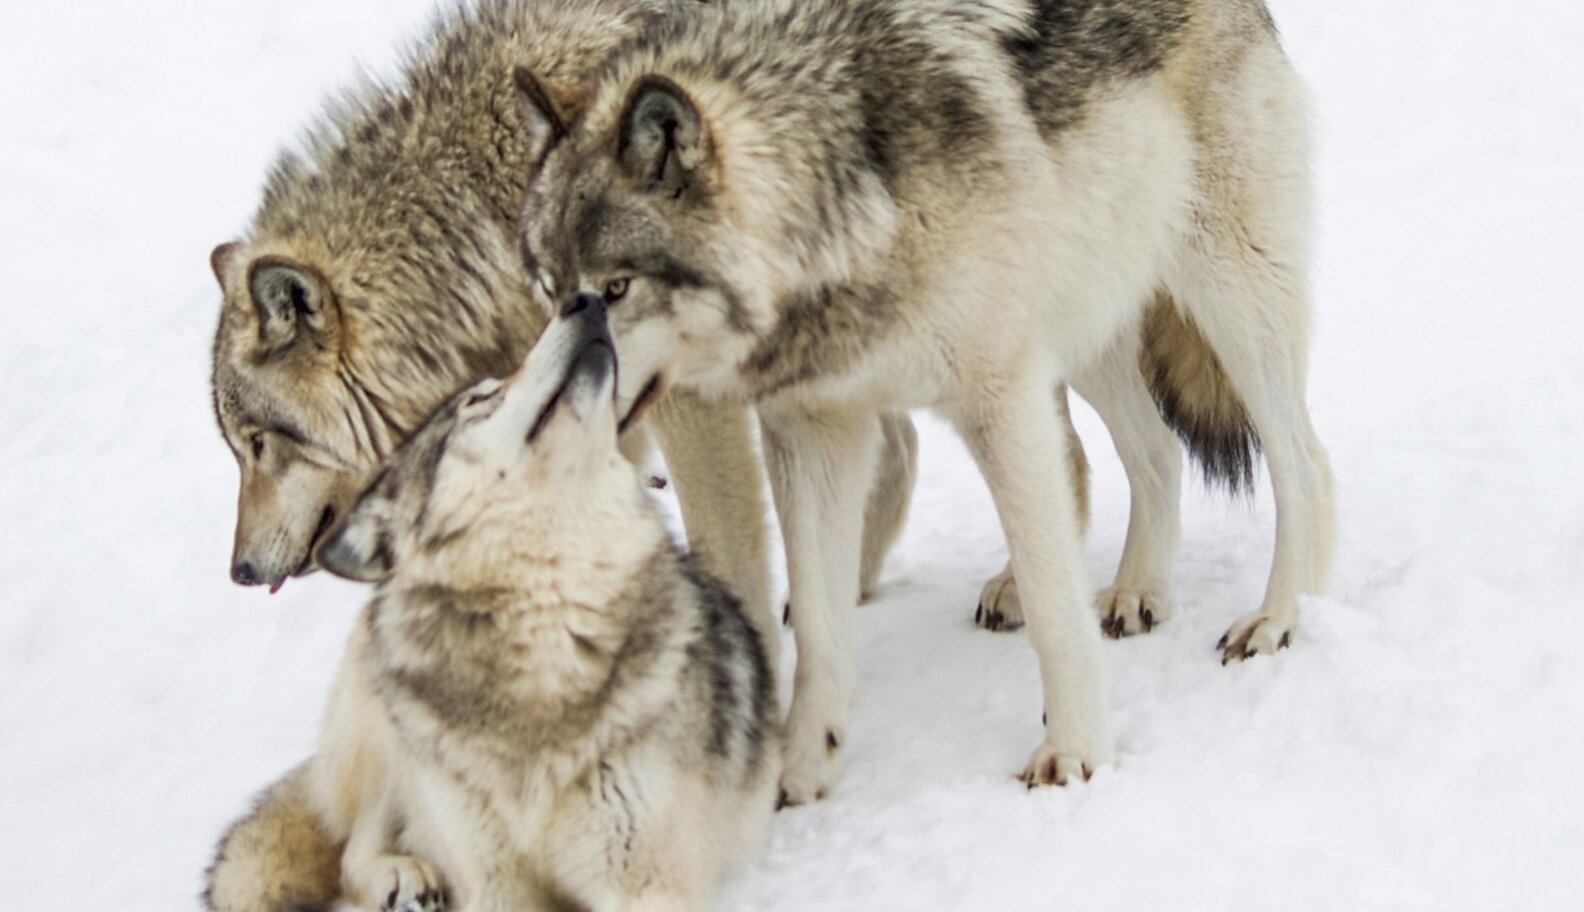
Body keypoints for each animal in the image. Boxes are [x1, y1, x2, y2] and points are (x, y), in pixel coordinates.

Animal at [206, 306, 779, 912]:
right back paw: (403, 880)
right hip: (392, 733)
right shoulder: (497, 883)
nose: (585, 301)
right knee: (354, 848)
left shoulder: (645, 883)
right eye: (480, 398)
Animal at [207, 0, 921, 669]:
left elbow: (722, 546)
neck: (482, 232)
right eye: (237, 450)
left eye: (259, 443)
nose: (239, 572)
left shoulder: (690, 400)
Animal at [516, 0, 1336, 801]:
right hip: (1086, 329)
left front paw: (1075, 753)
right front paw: (799, 767)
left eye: (616, 289)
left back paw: (1276, 617)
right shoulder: (814, 428)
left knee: (1304, 461)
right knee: (1159, 452)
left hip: (1227, 299)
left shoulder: (1002, 399)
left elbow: (1052, 604)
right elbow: (818, 618)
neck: (846, 193)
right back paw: (1139, 591)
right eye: (552, 291)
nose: (553, 377)